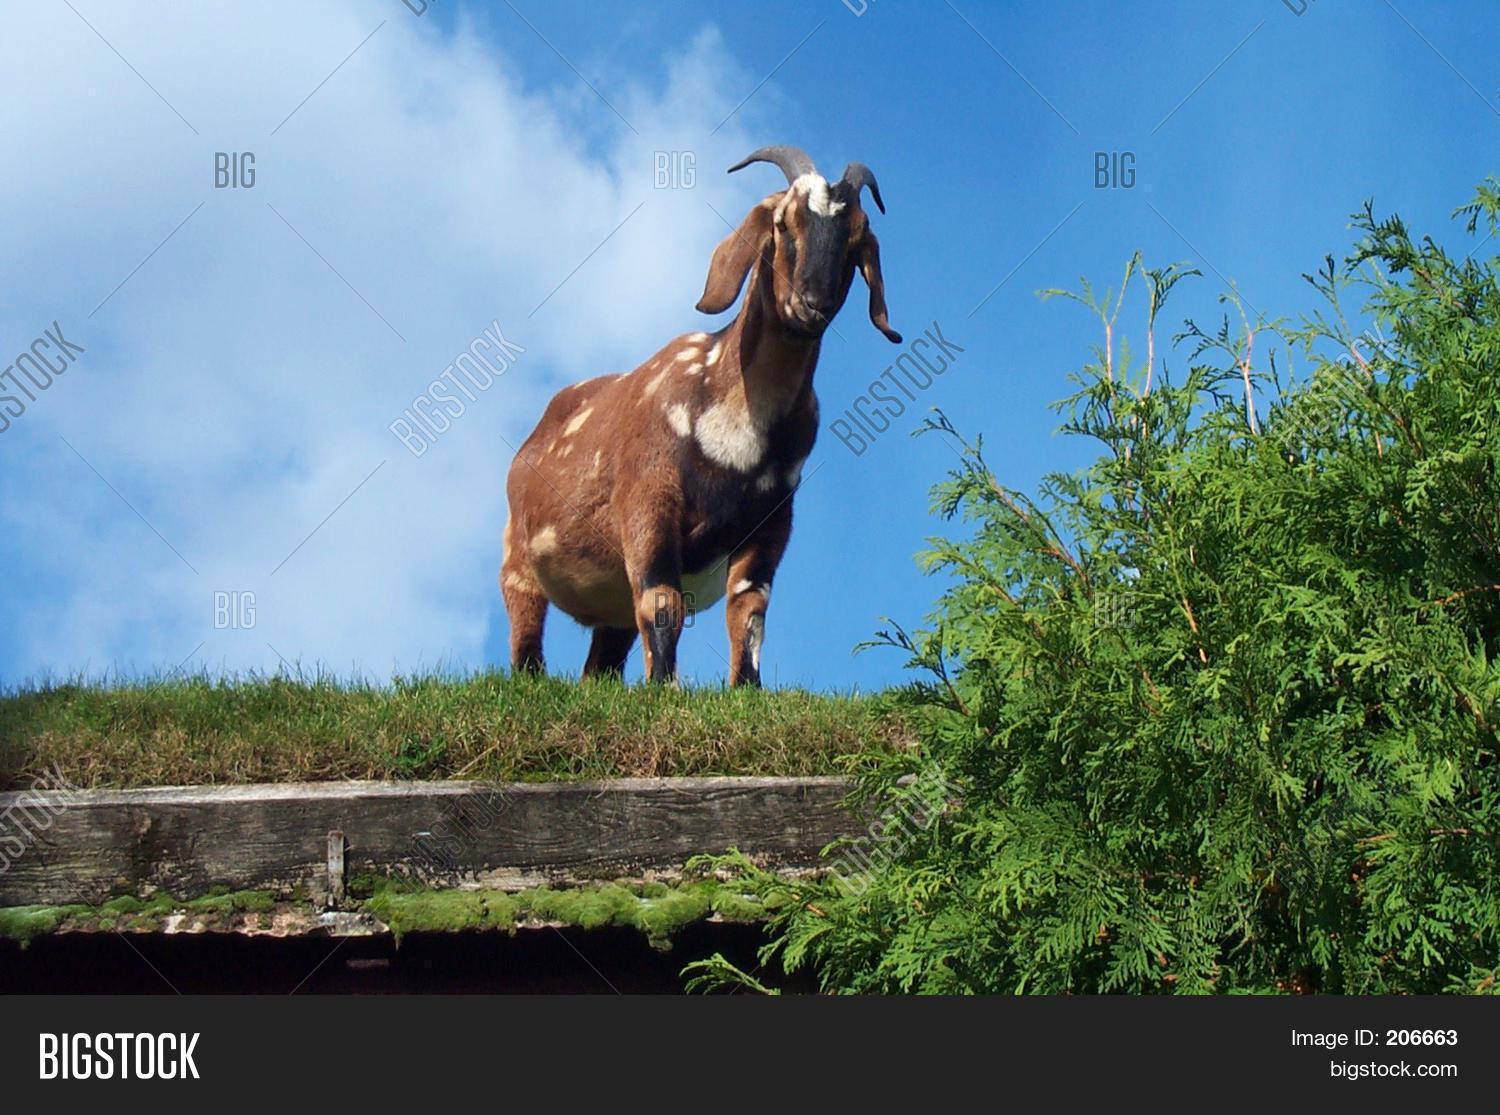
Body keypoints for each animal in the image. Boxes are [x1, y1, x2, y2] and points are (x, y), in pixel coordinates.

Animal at [501, 144, 900, 684]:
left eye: (857, 239)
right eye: (782, 223)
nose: (811, 304)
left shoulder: (772, 520)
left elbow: (749, 609)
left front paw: (746, 687)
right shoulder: (649, 500)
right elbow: (662, 602)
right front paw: (664, 687)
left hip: (609, 605)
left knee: (603, 660)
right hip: (519, 556)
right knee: (525, 621)